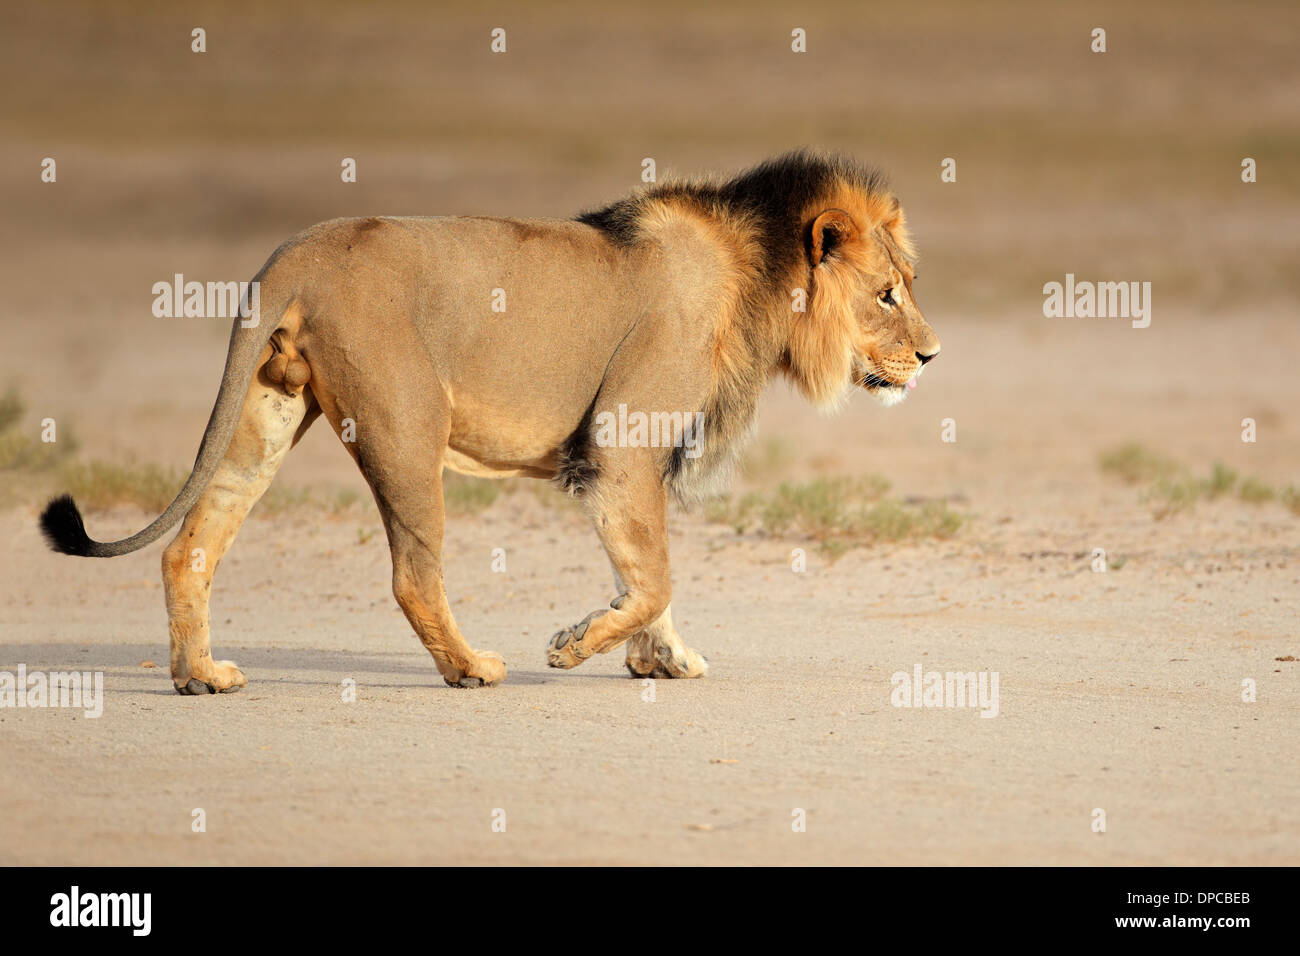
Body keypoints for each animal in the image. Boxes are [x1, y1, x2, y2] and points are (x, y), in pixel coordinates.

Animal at [39, 150, 941, 693]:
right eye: (887, 295)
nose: (932, 356)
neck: (758, 278)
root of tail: (295, 254)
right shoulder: (621, 442)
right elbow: (654, 577)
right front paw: (575, 645)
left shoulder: (634, 463)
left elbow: (644, 573)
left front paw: (663, 658)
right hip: (407, 430)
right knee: (412, 575)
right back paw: (471, 667)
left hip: (266, 415)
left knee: (190, 546)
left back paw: (200, 674)